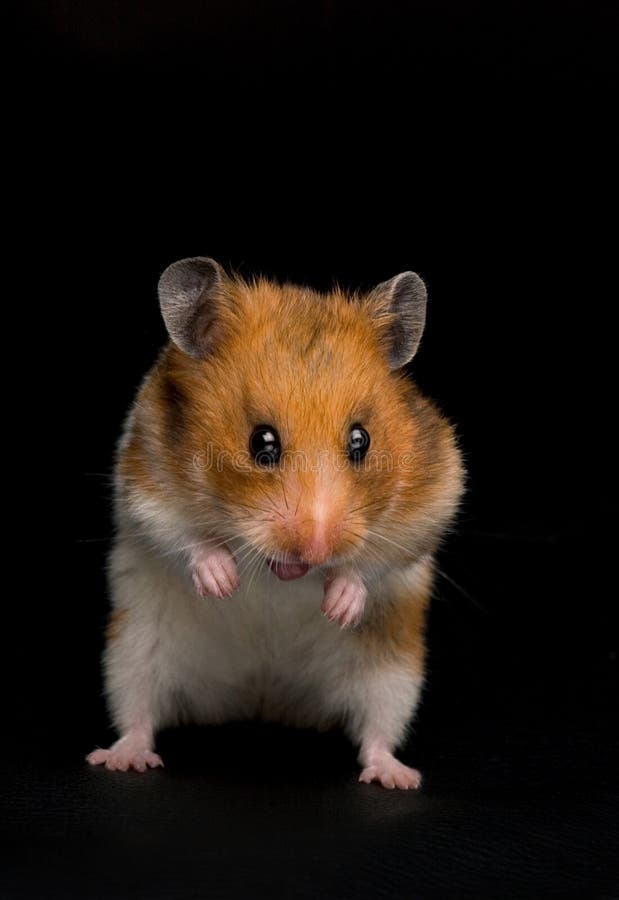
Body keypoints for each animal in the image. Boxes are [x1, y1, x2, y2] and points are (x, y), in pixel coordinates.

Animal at [87, 257, 464, 789]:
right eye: (260, 442)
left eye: (362, 440)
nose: (314, 554)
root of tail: (264, 698)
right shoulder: (144, 478)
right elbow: (179, 534)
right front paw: (222, 581)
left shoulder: (435, 496)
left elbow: (382, 557)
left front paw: (339, 605)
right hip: (133, 653)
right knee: (138, 712)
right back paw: (125, 759)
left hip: (392, 674)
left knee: (377, 730)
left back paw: (396, 777)